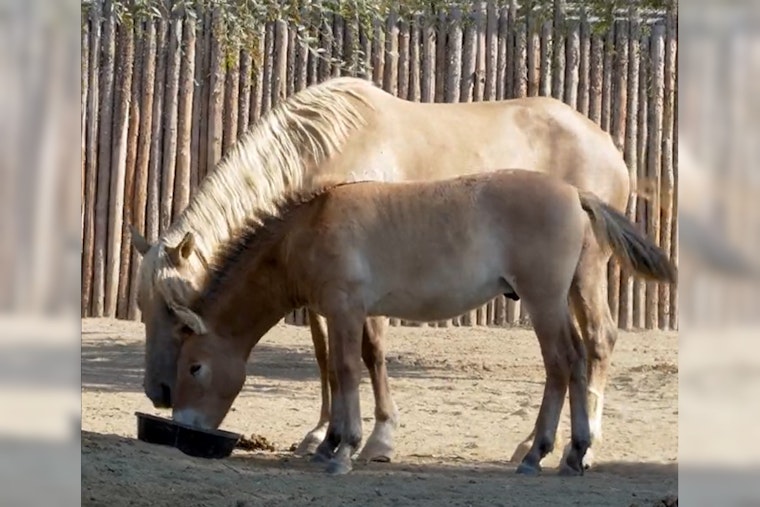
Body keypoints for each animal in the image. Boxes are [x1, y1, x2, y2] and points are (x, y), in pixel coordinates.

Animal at [169, 169, 676, 476]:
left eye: (194, 367)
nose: (184, 428)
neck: (308, 227)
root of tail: (574, 193)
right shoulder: (342, 314)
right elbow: (340, 369)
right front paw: (329, 444)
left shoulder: (346, 309)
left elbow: (347, 371)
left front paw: (344, 450)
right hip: (565, 295)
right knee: (577, 361)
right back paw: (571, 453)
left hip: (544, 300)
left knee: (562, 363)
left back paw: (541, 453)